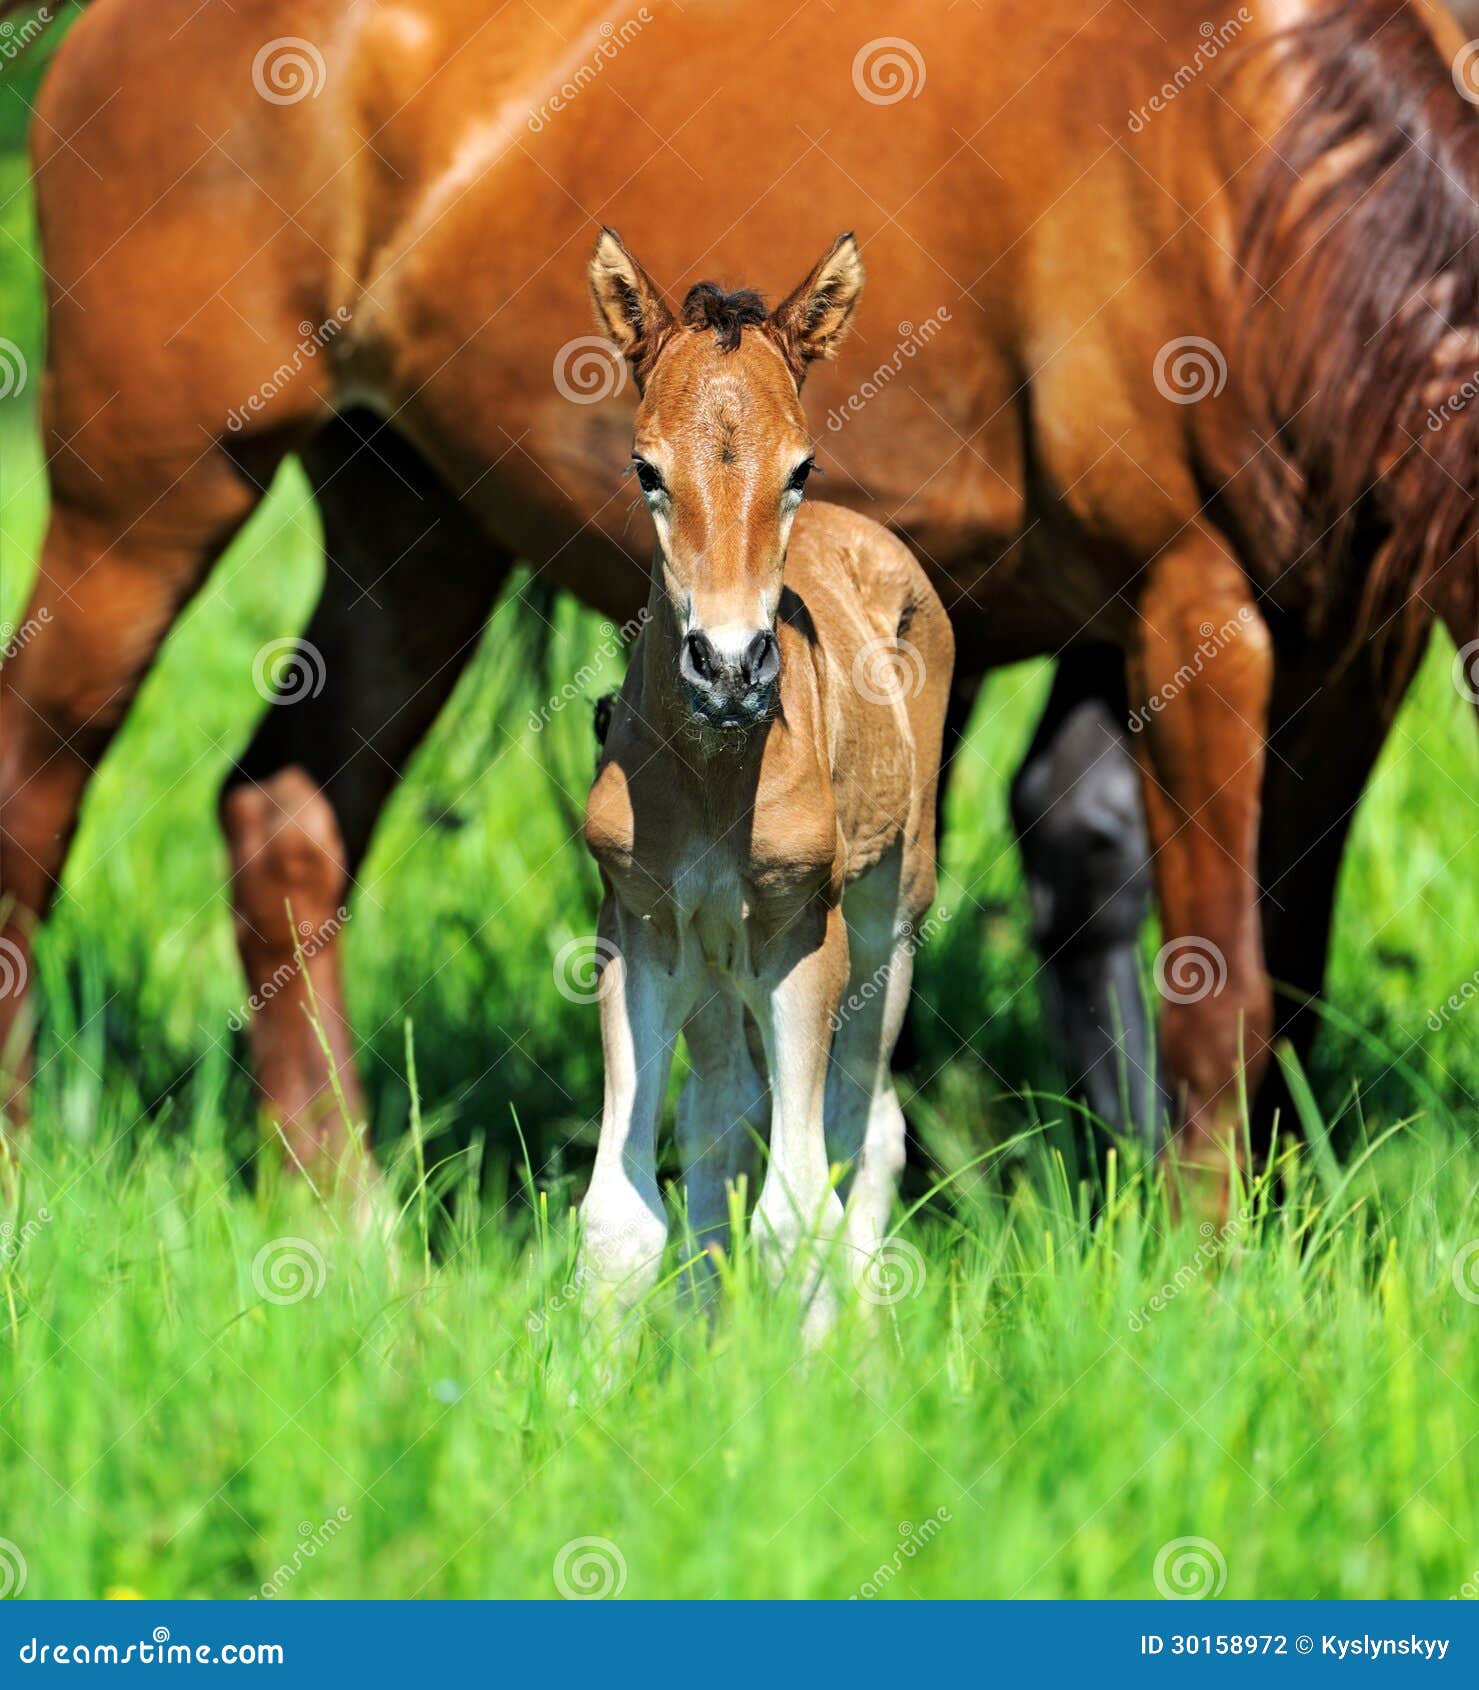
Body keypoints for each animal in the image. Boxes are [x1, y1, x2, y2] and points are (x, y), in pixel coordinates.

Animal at [1, 0, 1475, 1193]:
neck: (1245, 163)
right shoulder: (1191, 609)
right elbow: (1218, 990)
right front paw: (1204, 1252)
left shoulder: (1348, 637)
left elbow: (1283, 964)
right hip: (146, 497)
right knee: (41, 773)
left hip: (413, 526)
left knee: (287, 814)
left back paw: (345, 1213)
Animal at [578, 230, 952, 1335]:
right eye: (645, 468)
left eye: (801, 466)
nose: (732, 667)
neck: (713, 784)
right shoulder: (642, 928)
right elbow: (622, 1213)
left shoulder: (798, 933)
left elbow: (798, 1208)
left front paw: (810, 1374)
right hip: (713, 961)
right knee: (723, 1117)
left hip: (885, 917)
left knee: (864, 1126)